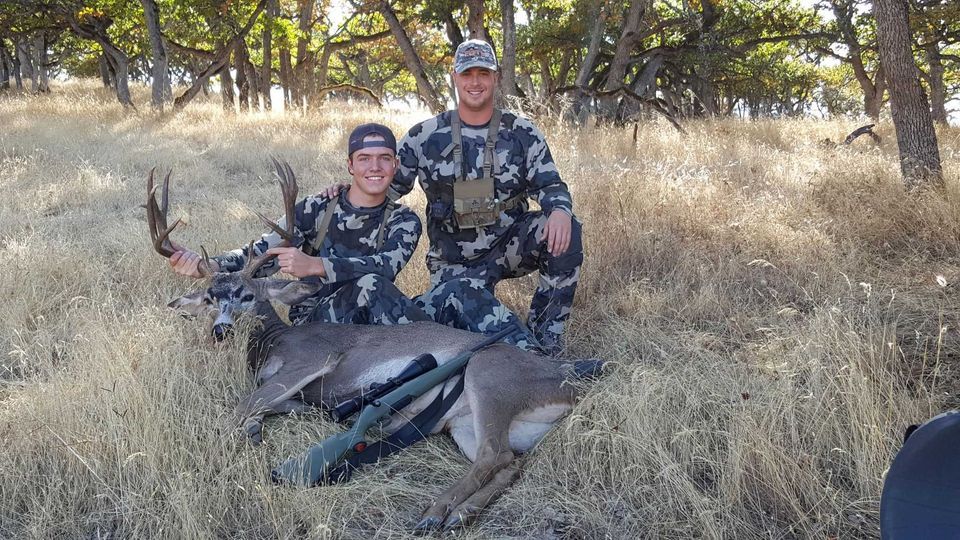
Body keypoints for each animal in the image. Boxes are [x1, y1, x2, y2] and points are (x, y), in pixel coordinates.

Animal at [145, 161, 603, 532]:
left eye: (245, 295)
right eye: (209, 298)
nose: (221, 331)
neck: (273, 341)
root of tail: (567, 387)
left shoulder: (311, 358)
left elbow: (240, 406)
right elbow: (265, 407)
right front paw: (257, 430)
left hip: (488, 375)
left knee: (494, 454)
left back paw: (436, 513)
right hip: (465, 424)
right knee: (509, 461)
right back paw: (460, 514)